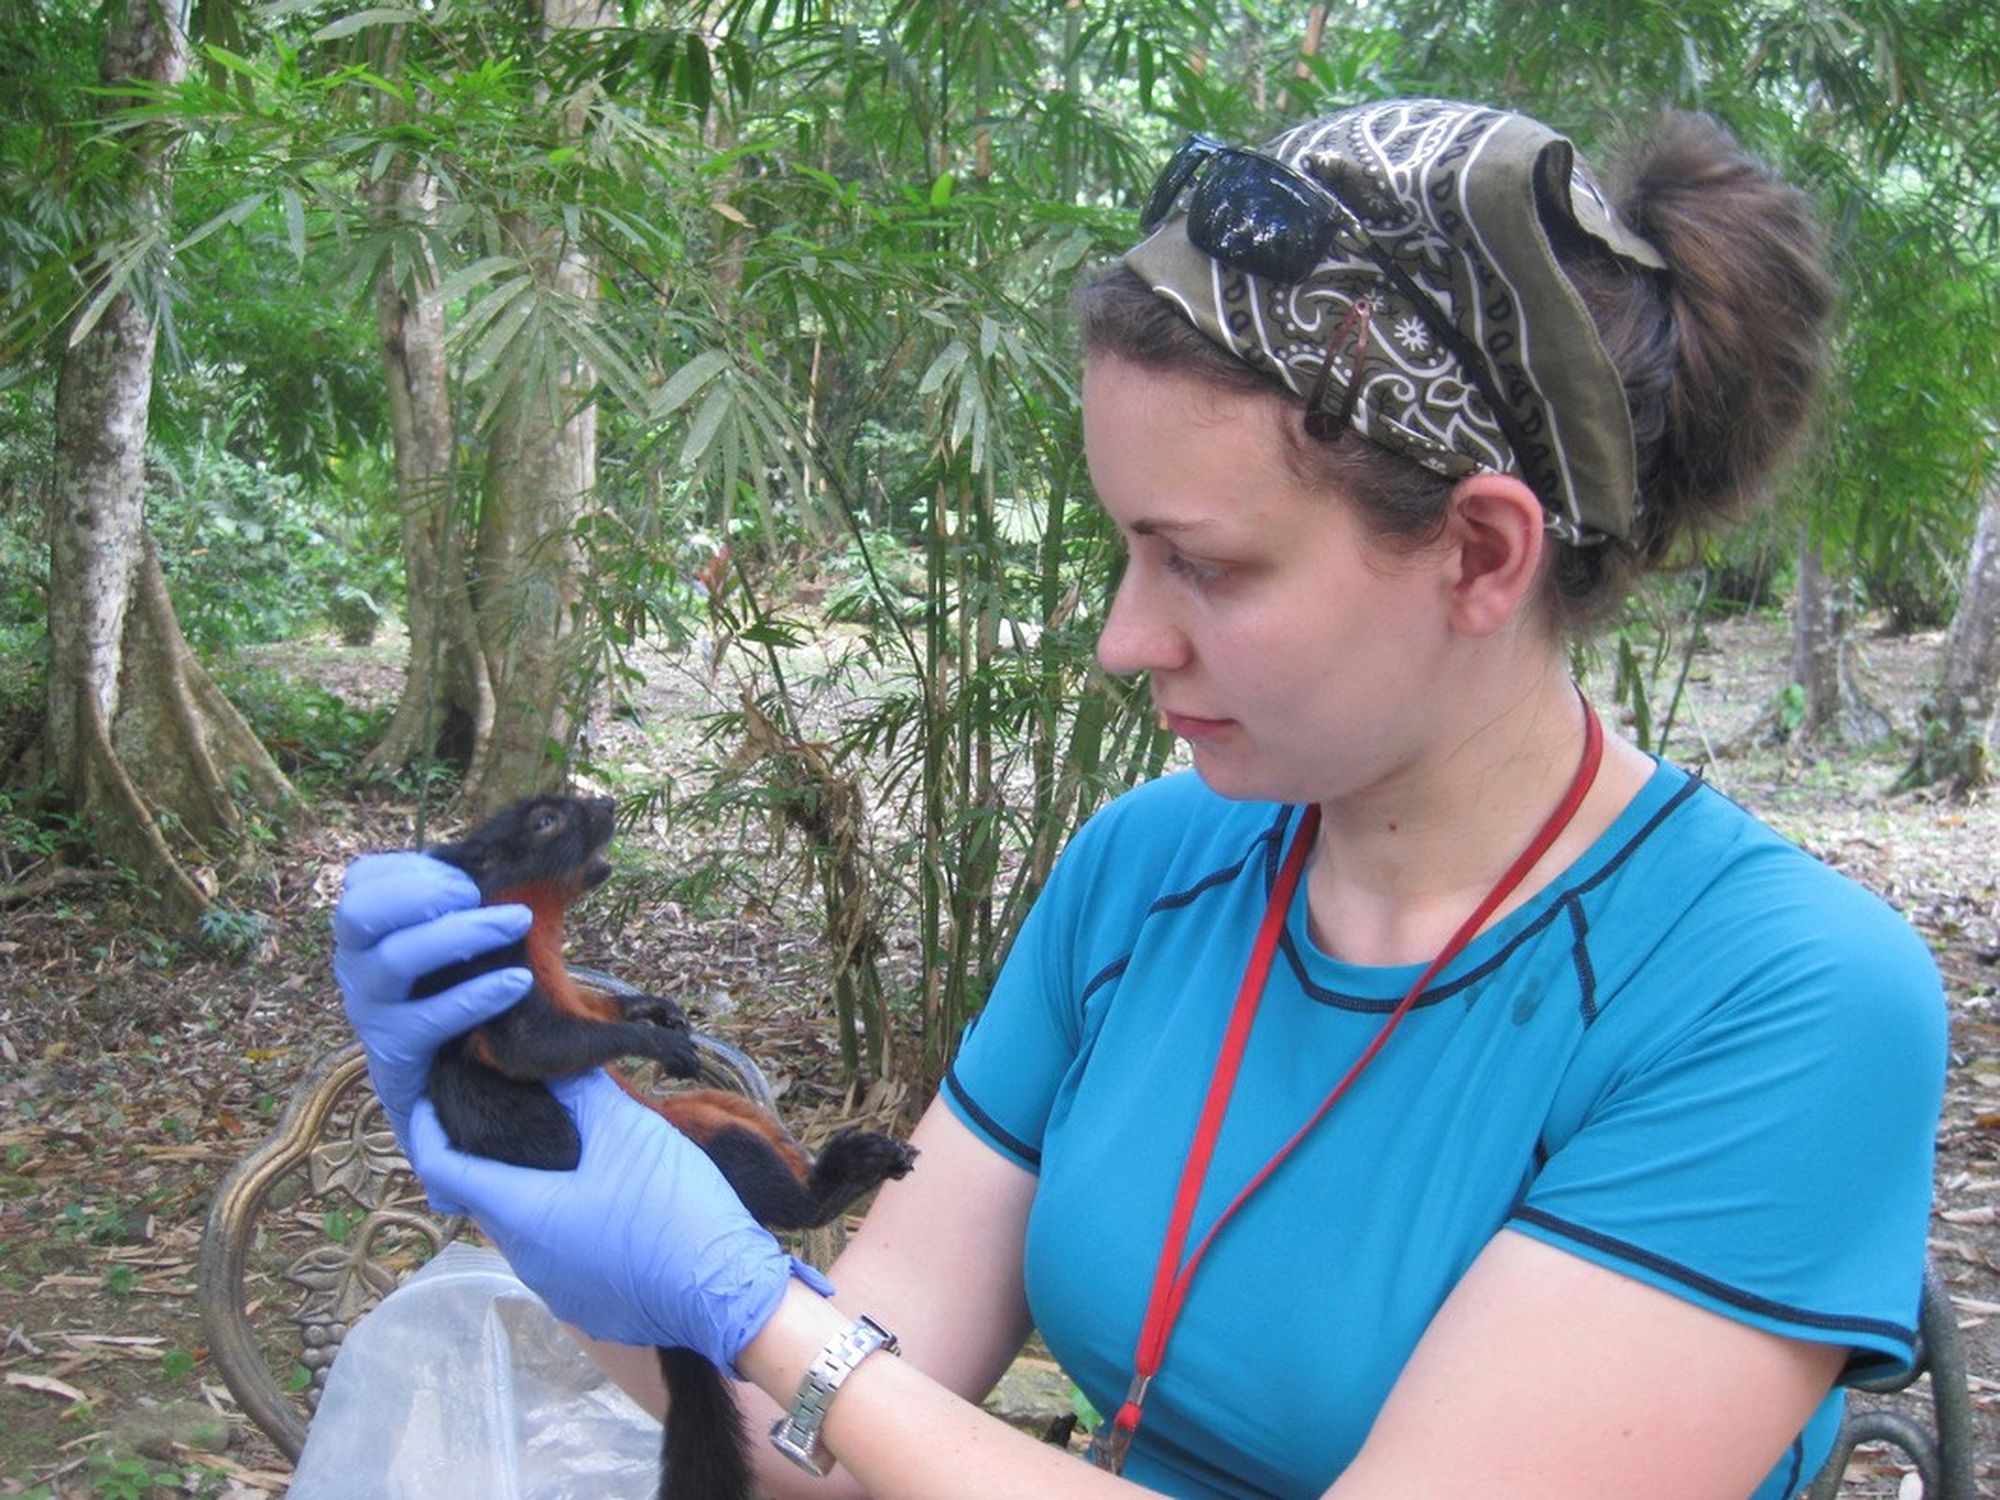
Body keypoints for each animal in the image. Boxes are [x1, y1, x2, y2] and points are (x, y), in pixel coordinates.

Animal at [417, 793, 919, 1500]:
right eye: (544, 822)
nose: (605, 802)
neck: (538, 930)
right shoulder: (497, 994)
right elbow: (542, 1045)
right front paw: (656, 1039)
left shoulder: (566, 986)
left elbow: (600, 1006)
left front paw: (656, 1008)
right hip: (719, 1151)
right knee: (794, 1205)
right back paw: (847, 1175)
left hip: (716, 1111)